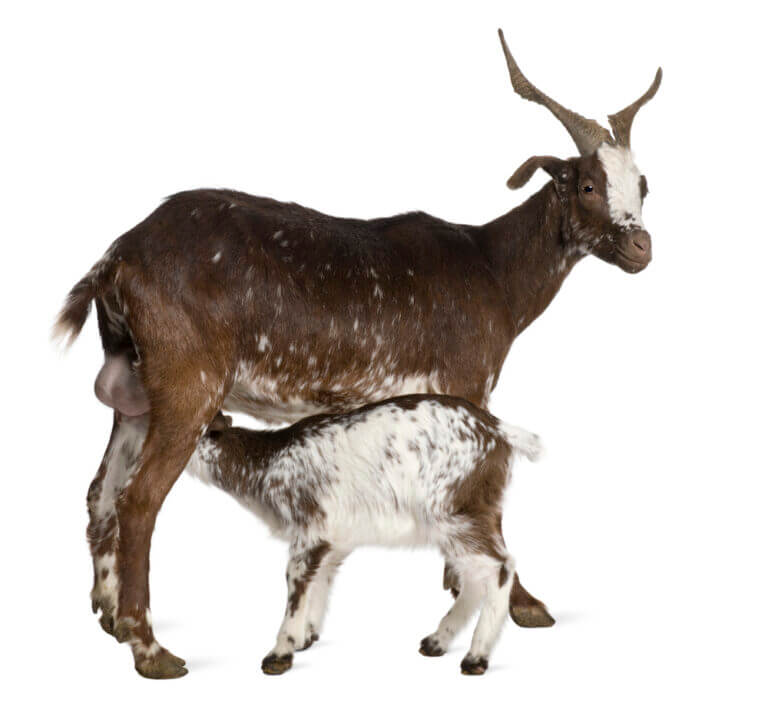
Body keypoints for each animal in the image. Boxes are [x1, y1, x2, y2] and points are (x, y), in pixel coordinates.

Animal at [185, 400, 541, 677]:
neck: (268, 465)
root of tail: (500, 430)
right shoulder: (335, 537)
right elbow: (322, 578)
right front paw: (306, 636)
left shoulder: (310, 529)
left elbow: (296, 584)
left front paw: (280, 652)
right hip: (457, 522)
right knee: (474, 576)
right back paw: (437, 641)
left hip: (457, 512)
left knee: (500, 567)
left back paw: (475, 657)